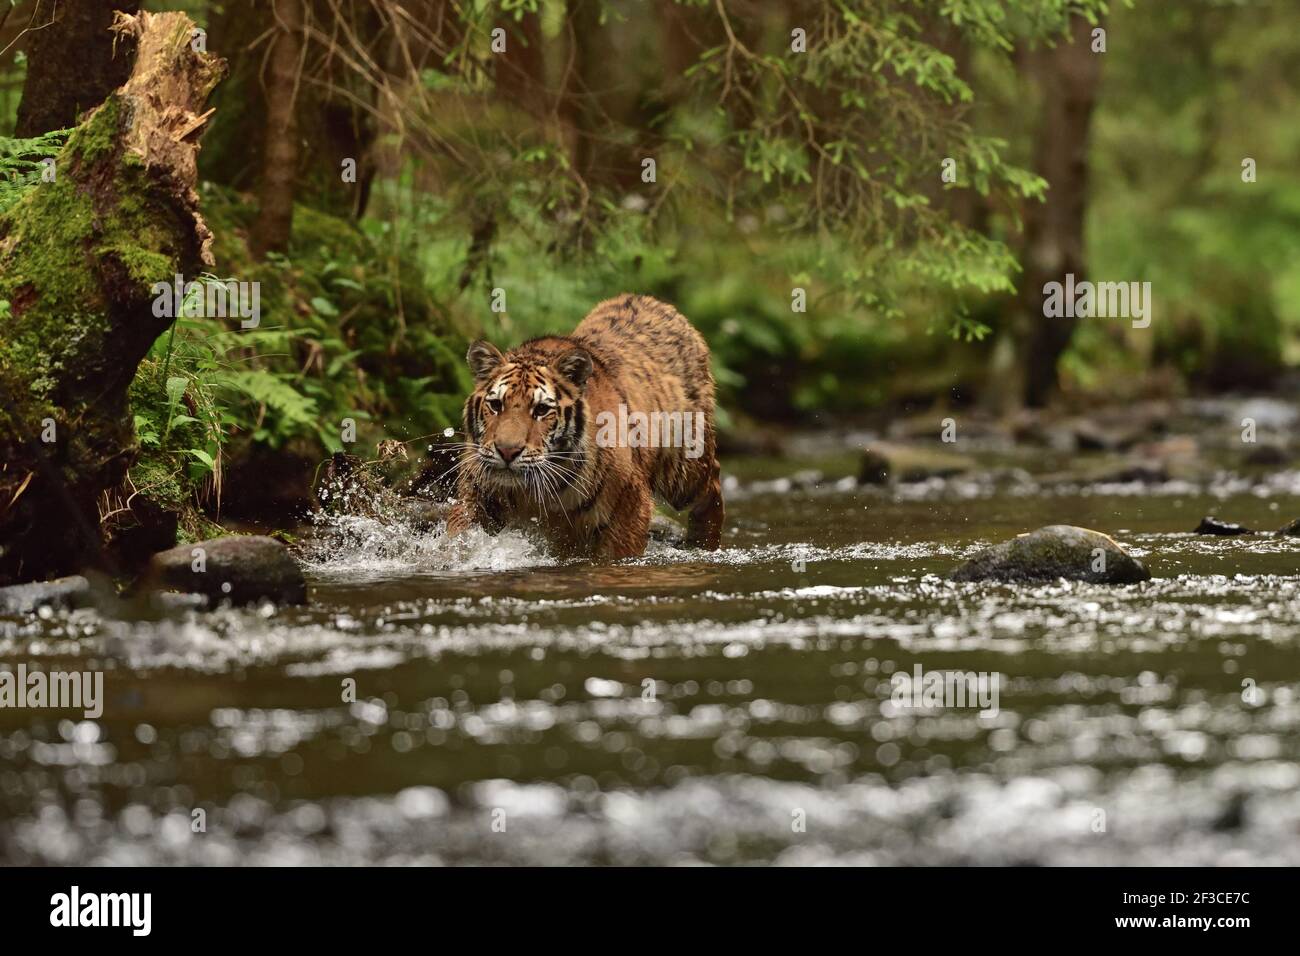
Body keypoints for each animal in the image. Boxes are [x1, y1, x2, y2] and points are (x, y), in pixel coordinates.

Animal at [444, 294, 724, 560]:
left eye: (541, 410)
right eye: (495, 405)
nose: (507, 451)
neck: (529, 493)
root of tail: (654, 302)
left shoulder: (629, 508)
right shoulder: (476, 495)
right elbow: (460, 535)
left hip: (684, 468)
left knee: (712, 483)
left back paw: (704, 545)